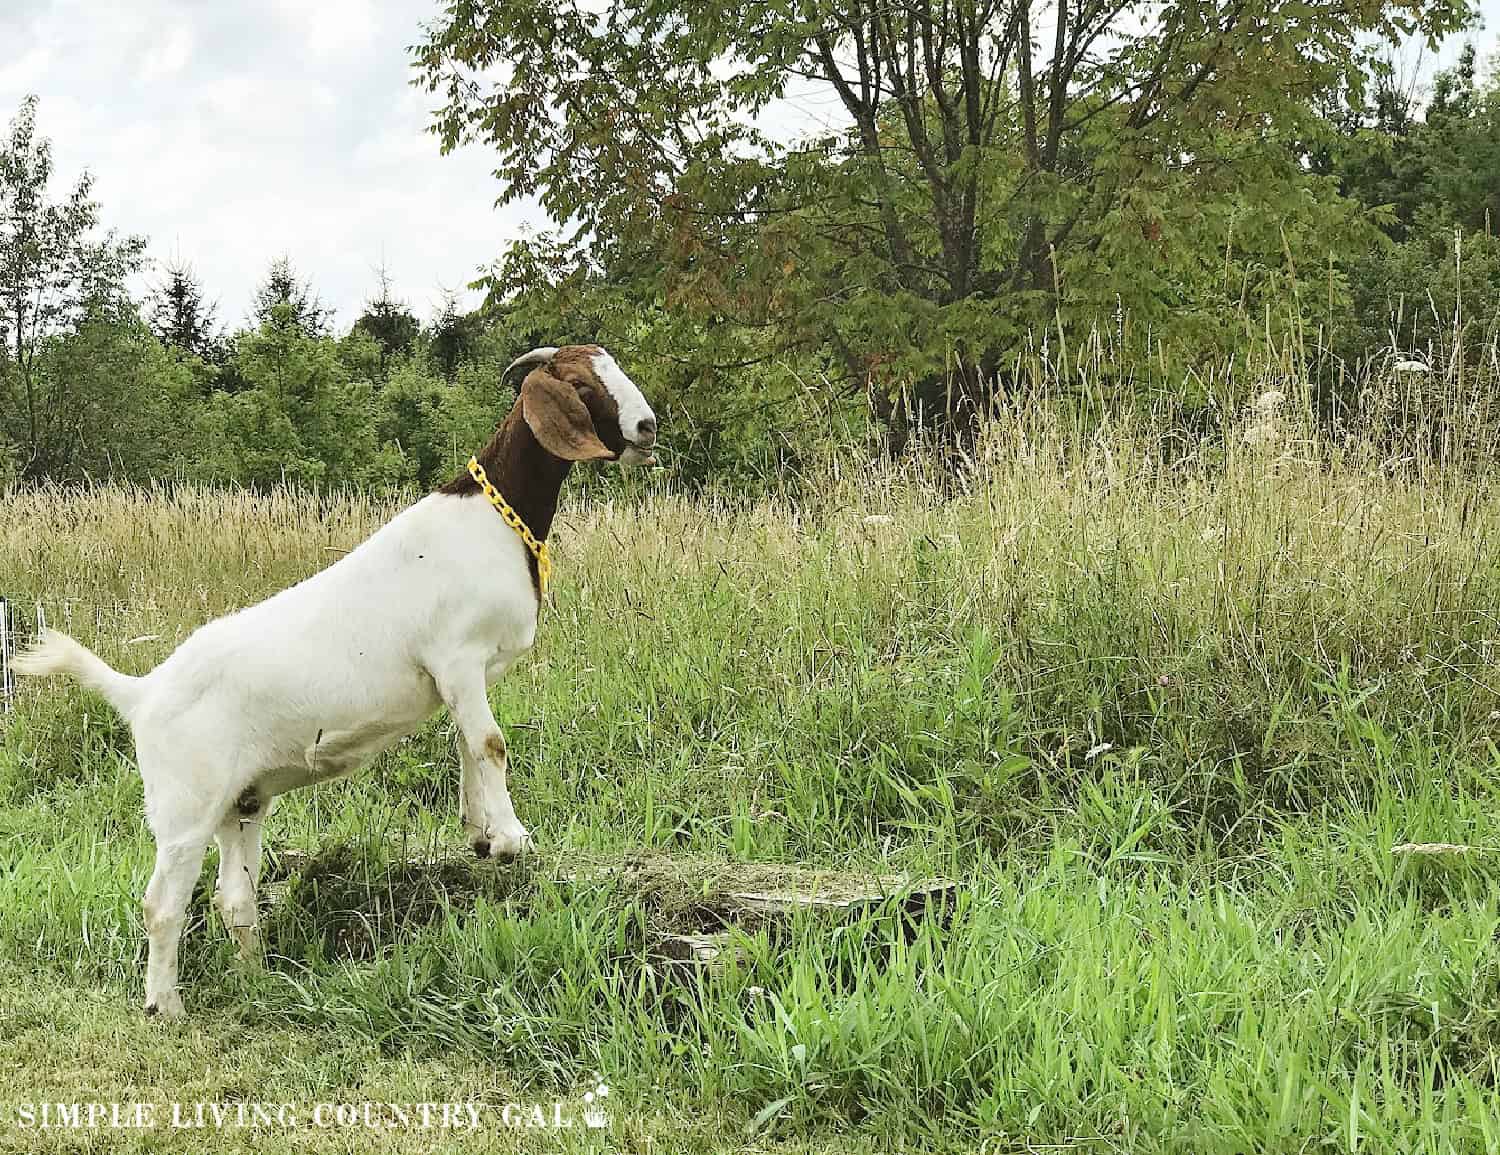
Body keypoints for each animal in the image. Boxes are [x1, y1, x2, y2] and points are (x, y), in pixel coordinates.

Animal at [13, 344, 658, 1018]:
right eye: (581, 384)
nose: (647, 428)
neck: (492, 519)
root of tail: (140, 692)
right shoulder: (456, 657)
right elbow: (491, 745)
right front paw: (512, 839)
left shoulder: (463, 676)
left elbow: (466, 746)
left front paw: (481, 835)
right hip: (184, 804)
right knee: (162, 903)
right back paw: (166, 1007)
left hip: (241, 803)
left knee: (233, 898)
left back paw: (256, 981)